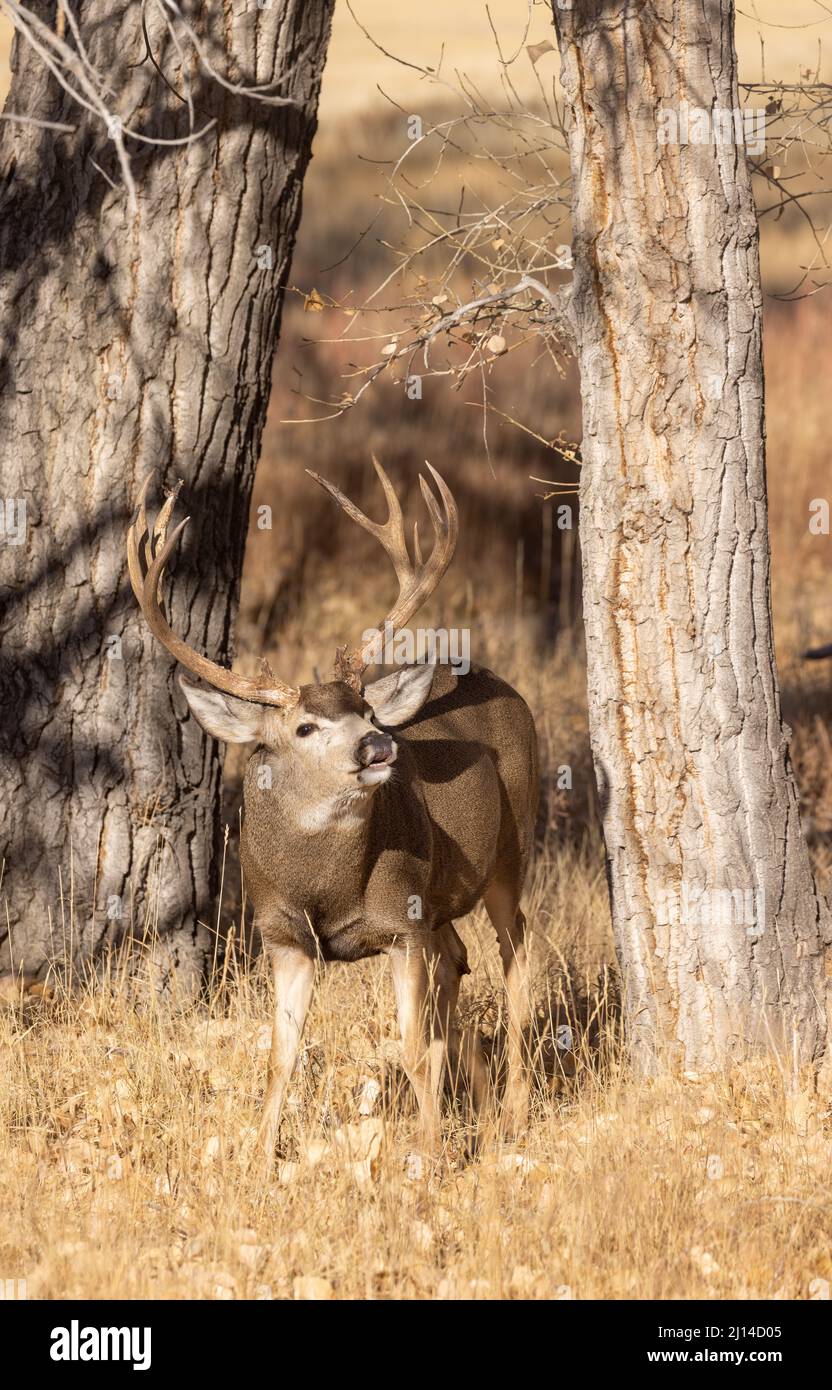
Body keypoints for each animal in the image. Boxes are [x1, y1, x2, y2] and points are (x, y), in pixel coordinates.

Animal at [127, 461, 539, 1157]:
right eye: (305, 728)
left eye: (367, 711)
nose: (379, 744)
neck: (326, 886)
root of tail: (500, 682)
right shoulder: (282, 935)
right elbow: (280, 1056)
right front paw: (259, 1158)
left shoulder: (401, 921)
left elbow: (412, 1049)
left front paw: (428, 1155)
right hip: (441, 902)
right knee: (459, 961)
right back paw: (485, 1116)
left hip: (511, 851)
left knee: (516, 964)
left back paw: (512, 1115)